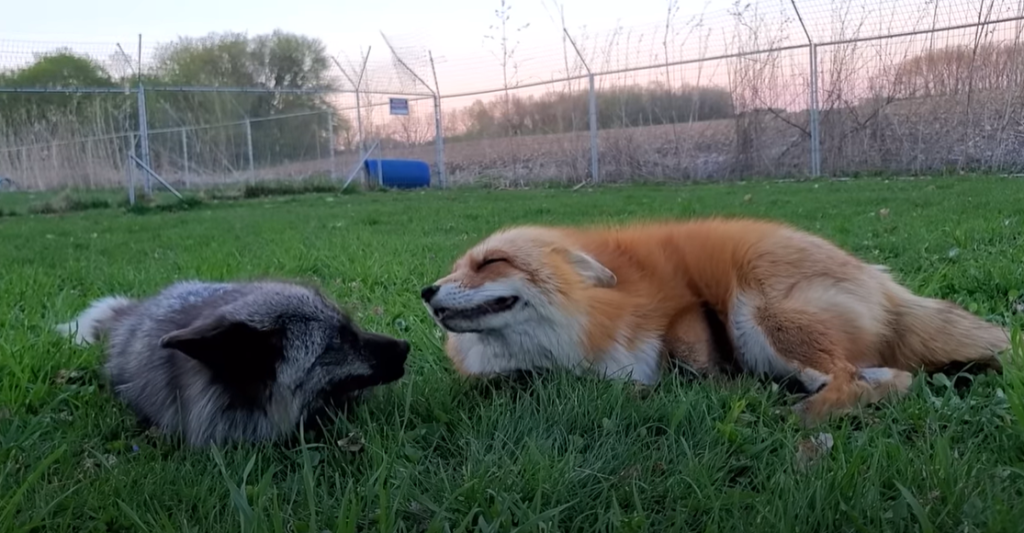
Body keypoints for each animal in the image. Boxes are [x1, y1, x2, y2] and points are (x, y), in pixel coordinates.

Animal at [420, 217, 1012, 426]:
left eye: (491, 263)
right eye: (456, 268)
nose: (426, 292)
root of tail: (882, 280)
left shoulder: (684, 309)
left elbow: (684, 358)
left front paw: (704, 387)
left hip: (762, 317)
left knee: (858, 380)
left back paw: (800, 415)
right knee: (892, 379)